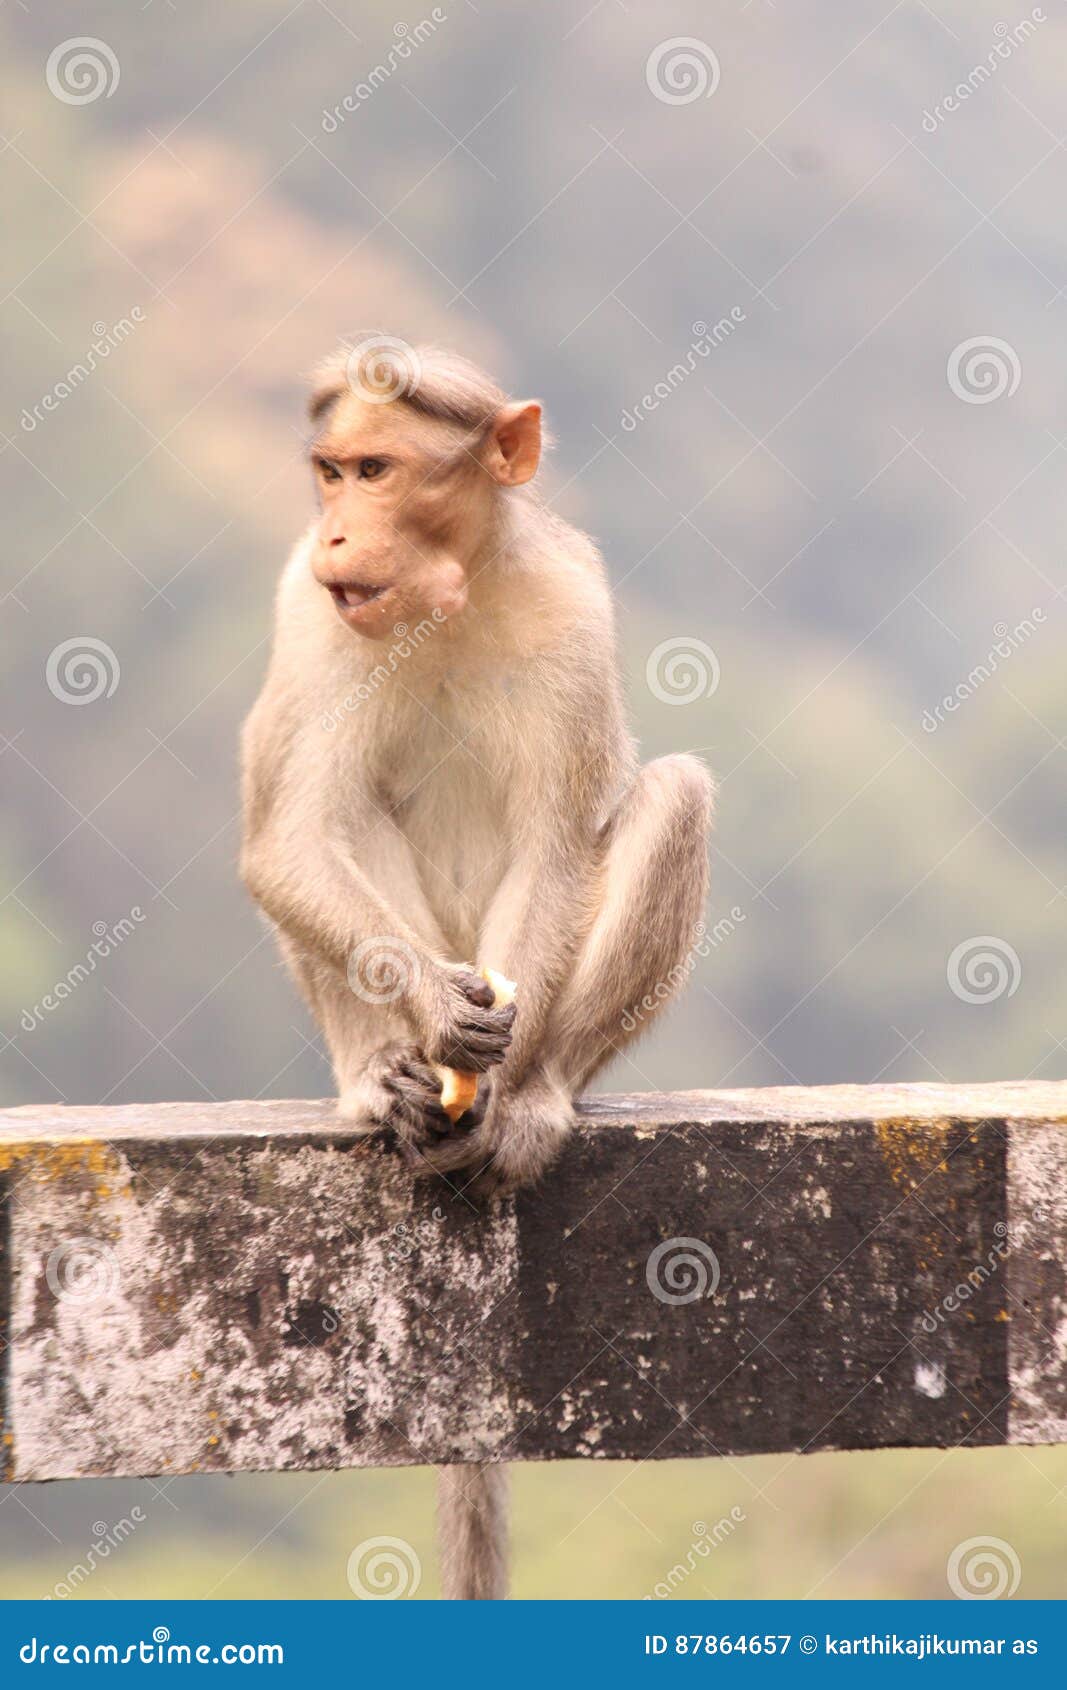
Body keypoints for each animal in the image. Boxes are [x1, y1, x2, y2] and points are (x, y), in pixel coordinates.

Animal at [239, 337, 714, 1597]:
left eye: (376, 469)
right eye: (330, 472)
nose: (337, 532)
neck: (443, 595)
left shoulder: (573, 606)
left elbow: (557, 845)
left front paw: (497, 1081)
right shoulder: (306, 608)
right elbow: (290, 836)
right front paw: (441, 1040)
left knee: (675, 792)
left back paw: (528, 1096)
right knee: (325, 806)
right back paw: (391, 1084)